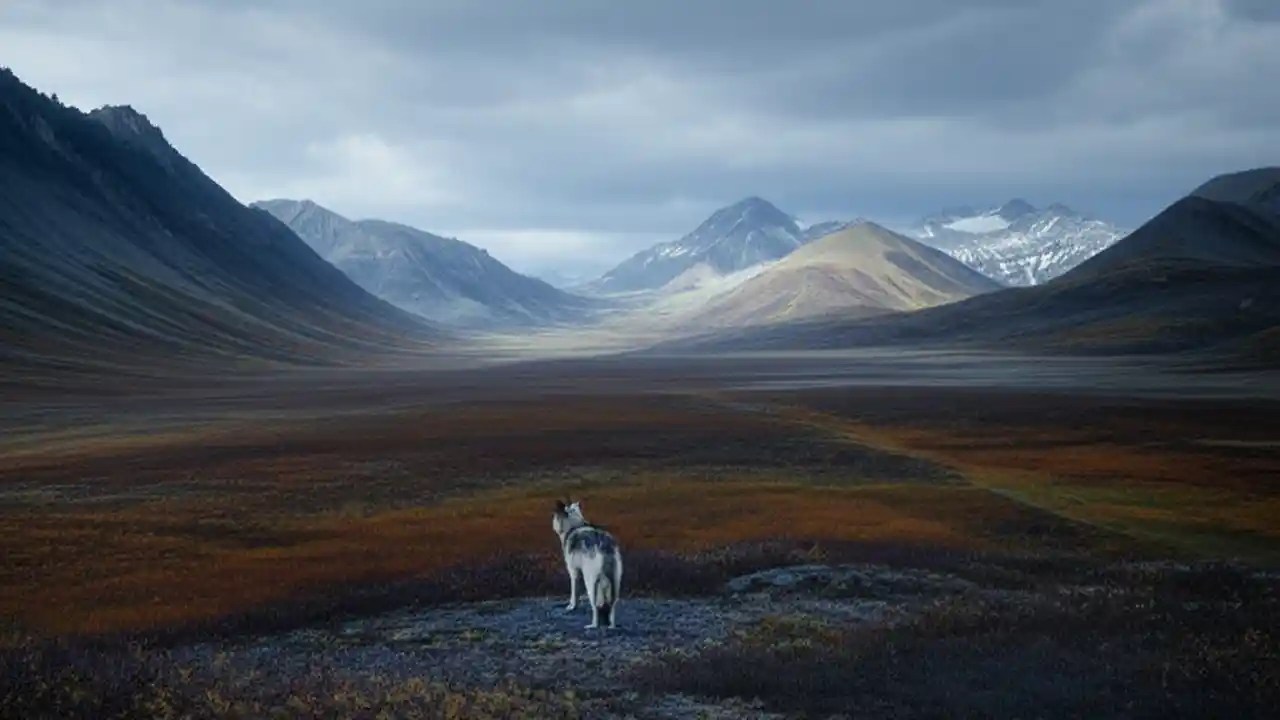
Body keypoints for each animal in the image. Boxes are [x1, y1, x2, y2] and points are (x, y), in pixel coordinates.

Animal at [552, 500, 623, 629]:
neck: (575, 526)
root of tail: (604, 546)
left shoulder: (573, 571)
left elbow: (574, 592)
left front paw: (571, 606)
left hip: (591, 580)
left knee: (595, 605)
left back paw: (593, 625)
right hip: (616, 579)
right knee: (613, 604)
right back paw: (611, 625)